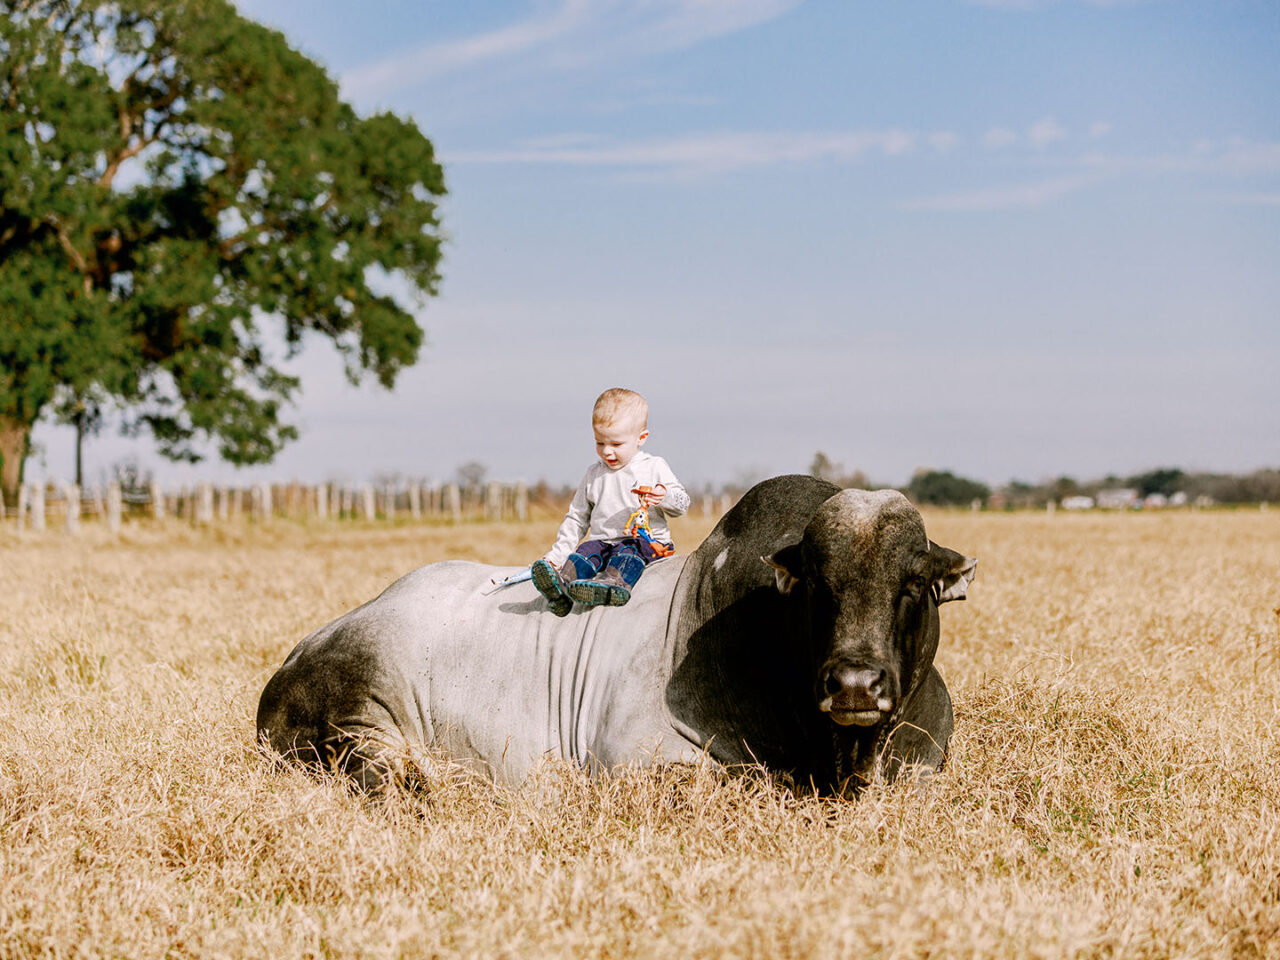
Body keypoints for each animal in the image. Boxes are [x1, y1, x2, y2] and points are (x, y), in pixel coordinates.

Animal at [256, 475, 976, 795]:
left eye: (914, 583)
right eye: (818, 586)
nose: (855, 683)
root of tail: (306, 645)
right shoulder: (637, 764)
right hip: (350, 712)